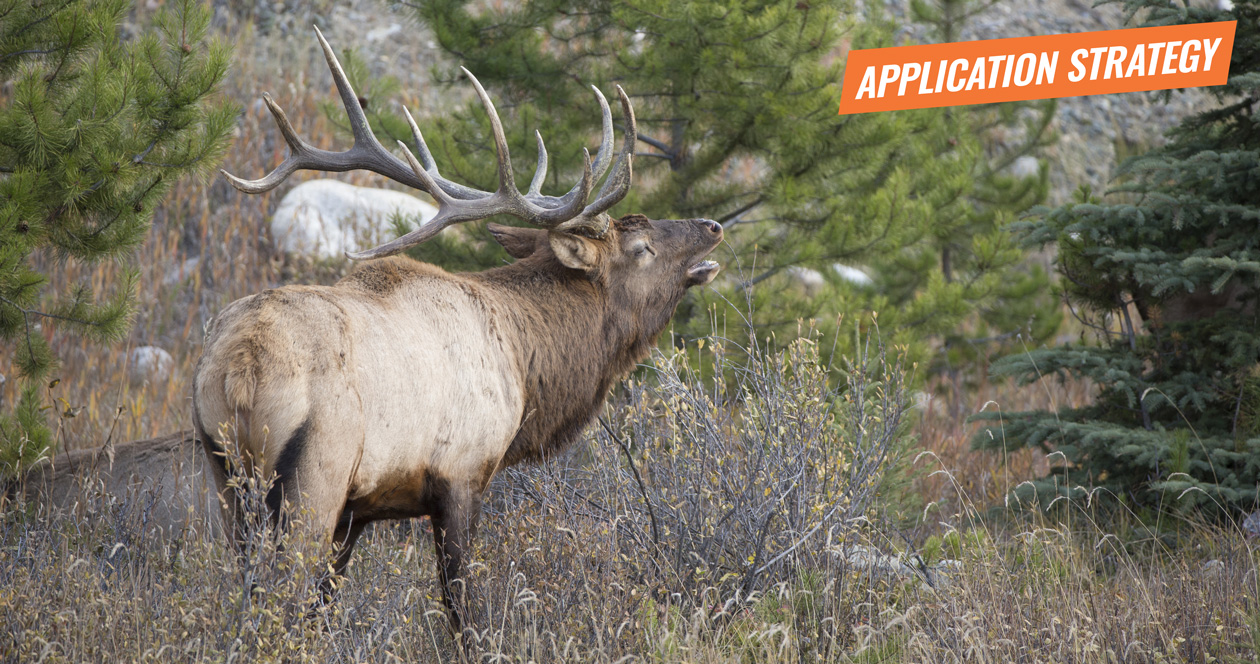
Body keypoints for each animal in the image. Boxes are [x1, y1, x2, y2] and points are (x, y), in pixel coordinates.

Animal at [192, 28, 723, 637]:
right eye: (642, 248)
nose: (712, 226)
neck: (526, 367)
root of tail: (238, 370)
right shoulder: (461, 474)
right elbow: (462, 608)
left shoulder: (359, 509)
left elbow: (325, 608)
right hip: (311, 476)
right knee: (275, 597)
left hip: (228, 479)